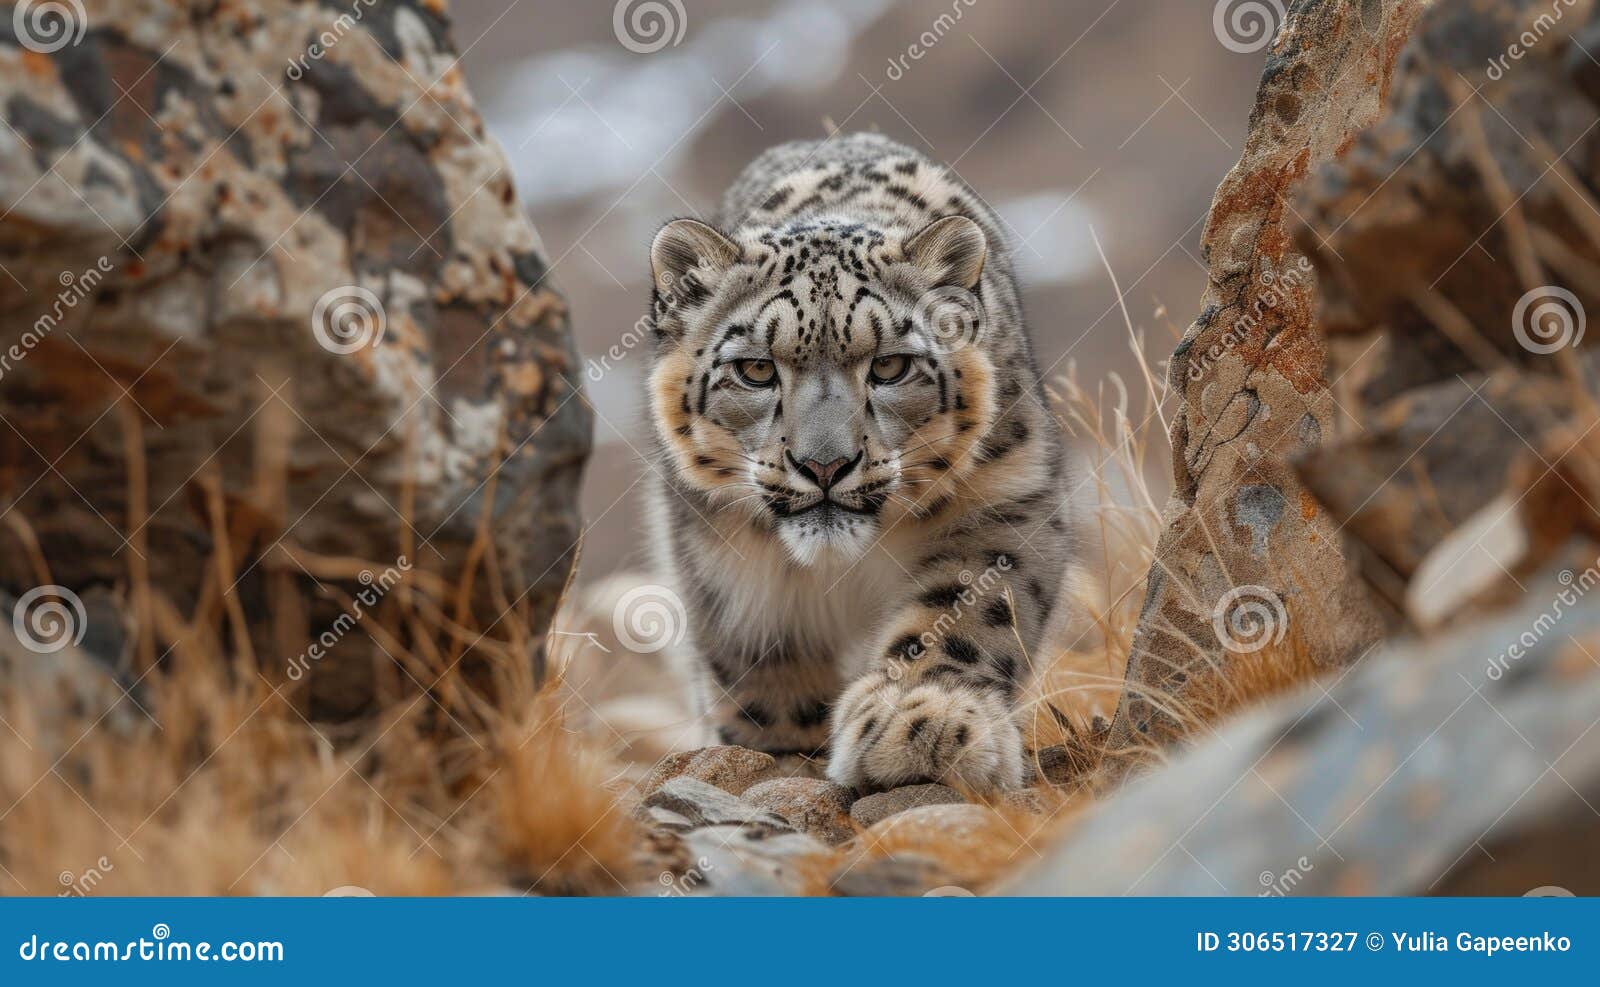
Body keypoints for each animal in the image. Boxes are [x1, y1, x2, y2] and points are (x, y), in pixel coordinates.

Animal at [641, 132, 1075, 792]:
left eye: (891, 366)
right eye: (756, 369)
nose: (825, 466)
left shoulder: (1006, 496)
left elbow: (966, 613)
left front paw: (922, 720)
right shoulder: (719, 554)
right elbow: (760, 662)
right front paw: (777, 751)